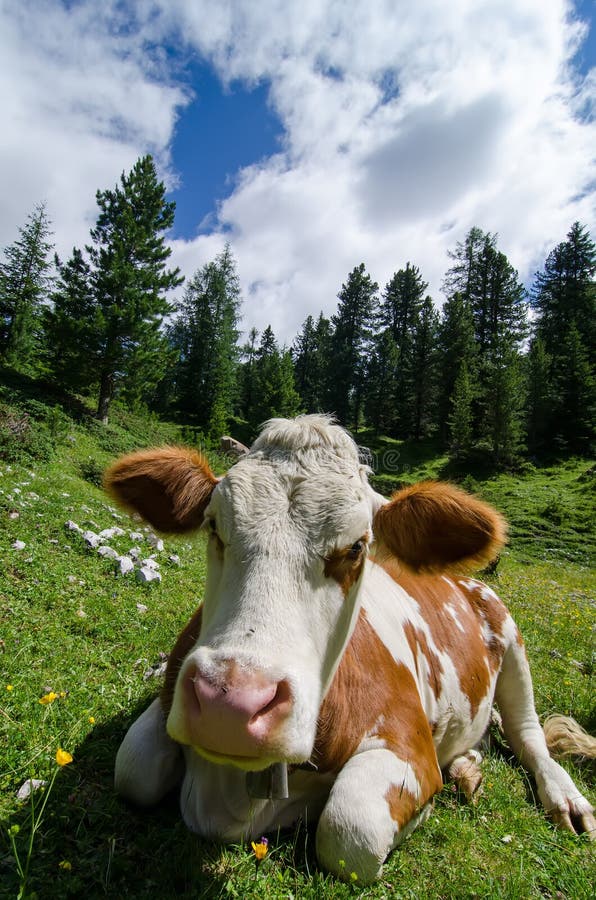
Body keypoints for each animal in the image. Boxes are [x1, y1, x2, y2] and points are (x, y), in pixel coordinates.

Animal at [107, 415, 595, 883]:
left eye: (357, 547)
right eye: (214, 527)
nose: (230, 705)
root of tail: (461, 577)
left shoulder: (411, 743)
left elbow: (348, 831)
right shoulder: (166, 703)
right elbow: (132, 769)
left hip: (512, 641)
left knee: (529, 736)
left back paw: (565, 798)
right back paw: (468, 767)